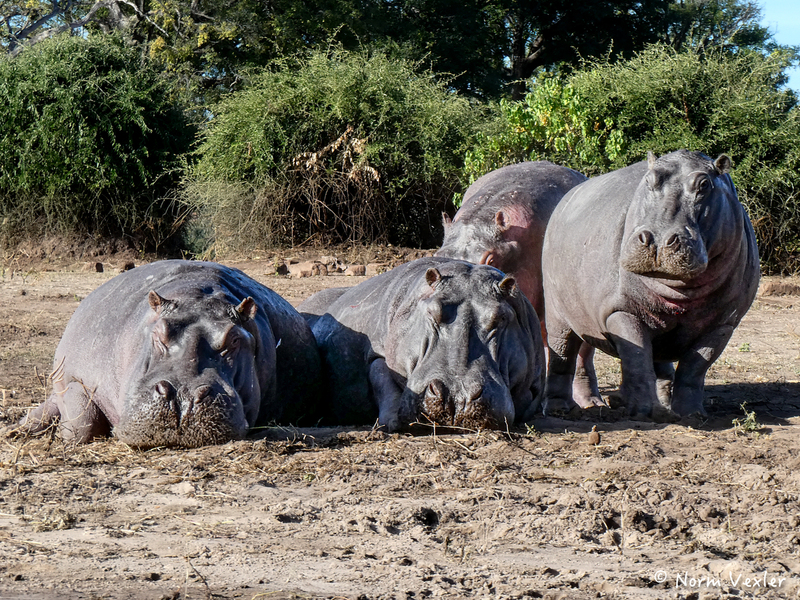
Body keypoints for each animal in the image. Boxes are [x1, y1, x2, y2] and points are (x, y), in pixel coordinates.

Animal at [16, 260, 321, 447]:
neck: (195, 294)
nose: (182, 395)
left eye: (234, 338)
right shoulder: (72, 375)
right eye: (158, 332)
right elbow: (81, 425)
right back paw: (17, 429)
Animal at [298, 257, 544, 431]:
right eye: (432, 312)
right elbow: (381, 378)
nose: (456, 395)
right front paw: (393, 422)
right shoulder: (377, 354)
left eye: (500, 318)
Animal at [542, 150, 760, 419]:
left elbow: (695, 367)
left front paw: (691, 414)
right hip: (556, 311)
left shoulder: (723, 324)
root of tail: (566, 198)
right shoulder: (621, 311)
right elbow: (637, 360)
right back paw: (561, 409)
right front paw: (645, 412)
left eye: (704, 185)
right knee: (562, 352)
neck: (679, 290)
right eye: (648, 180)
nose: (657, 238)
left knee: (660, 367)